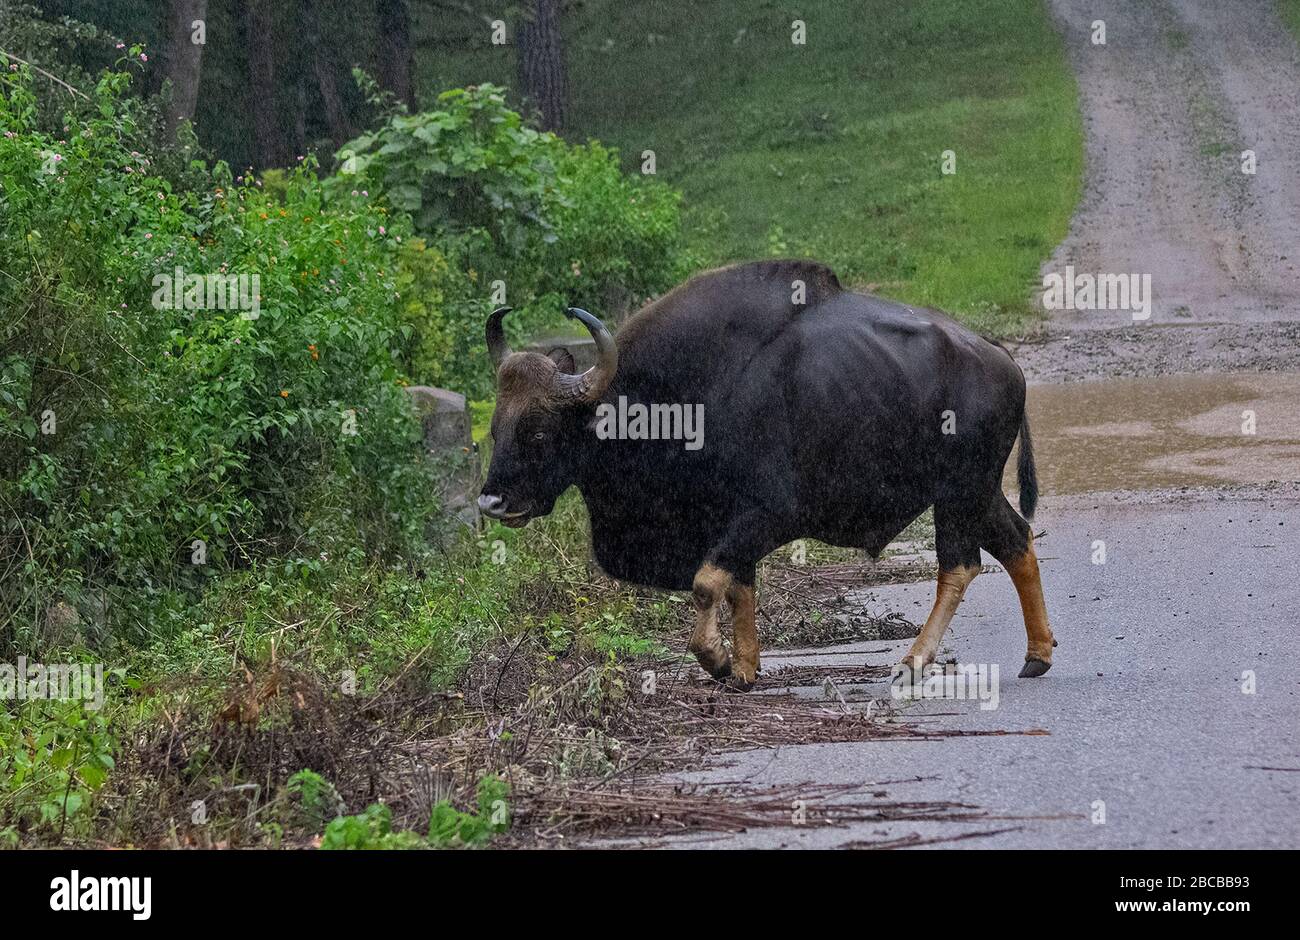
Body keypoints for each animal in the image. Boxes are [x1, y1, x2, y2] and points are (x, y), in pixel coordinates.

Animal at [478, 260, 1055, 690]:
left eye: (539, 432)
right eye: (496, 426)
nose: (491, 503)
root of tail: (1001, 359)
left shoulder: (767, 514)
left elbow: (708, 582)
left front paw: (715, 659)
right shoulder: (731, 524)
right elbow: (738, 586)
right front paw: (746, 669)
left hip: (960, 493)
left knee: (960, 566)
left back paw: (913, 662)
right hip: (976, 493)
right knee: (1016, 540)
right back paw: (1037, 655)